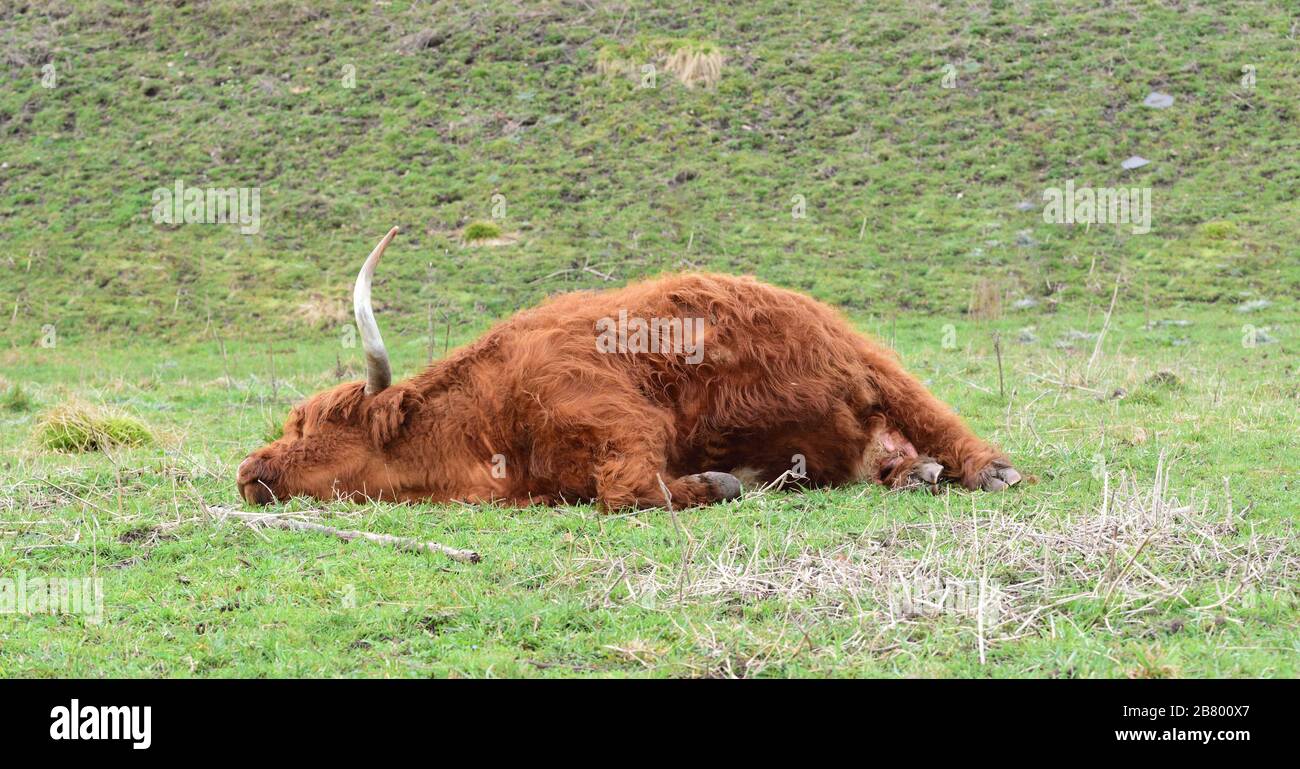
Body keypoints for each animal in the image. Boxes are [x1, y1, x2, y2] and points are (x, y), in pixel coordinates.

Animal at [237, 228, 1021, 509]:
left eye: (320, 423)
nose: (249, 469)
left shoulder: (622, 420)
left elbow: (629, 488)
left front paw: (718, 483)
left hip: (872, 358)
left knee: (938, 416)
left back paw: (987, 469)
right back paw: (912, 471)